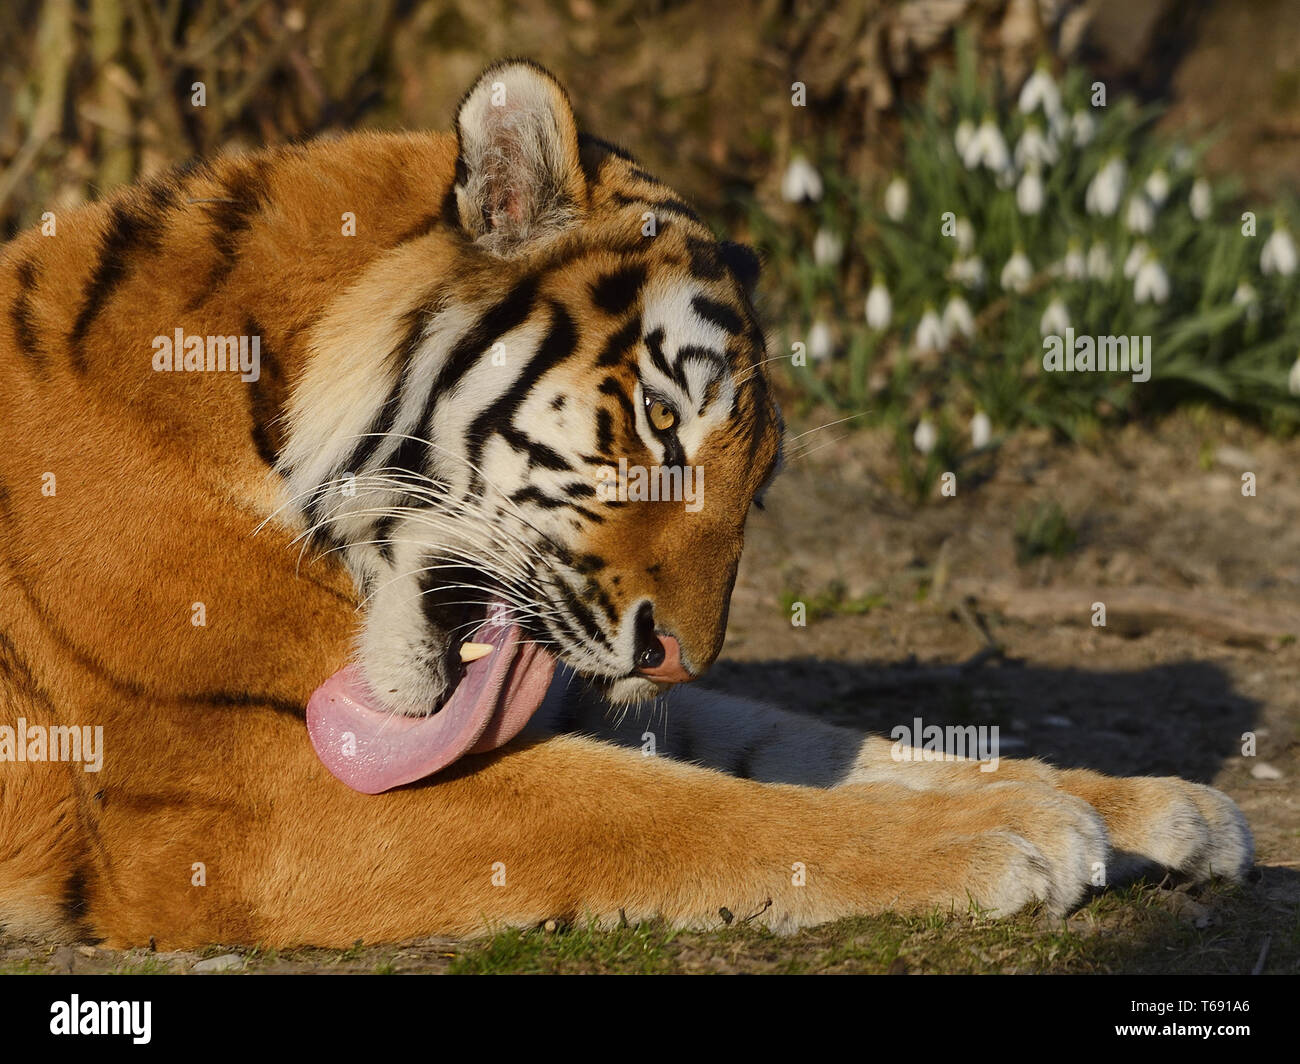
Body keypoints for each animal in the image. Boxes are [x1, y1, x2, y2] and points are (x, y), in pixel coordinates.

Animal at [0, 59, 1252, 948]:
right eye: (657, 423)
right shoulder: (260, 795)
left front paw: (1155, 805)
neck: (264, 390)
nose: (681, 652)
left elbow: (804, 740)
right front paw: (1008, 831)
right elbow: (669, 810)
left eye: (760, 479)